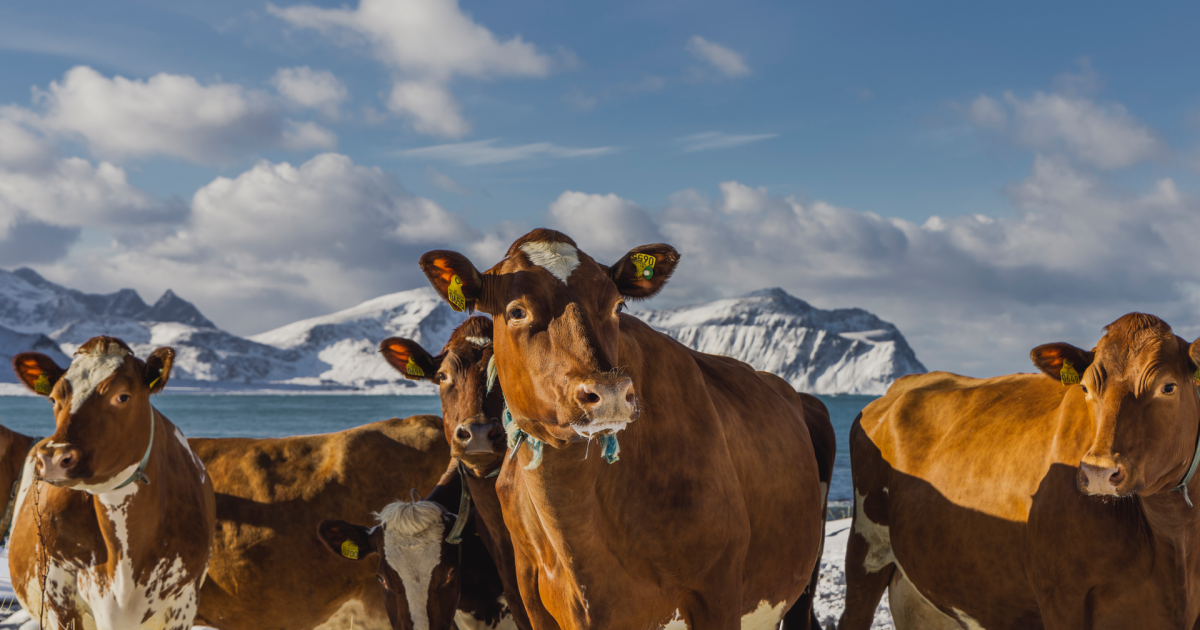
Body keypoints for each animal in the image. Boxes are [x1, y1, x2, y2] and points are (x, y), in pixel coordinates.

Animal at [840, 312, 1200, 629]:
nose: (1099, 472)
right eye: (1085, 388)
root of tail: (899, 388)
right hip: (866, 546)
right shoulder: (1061, 598)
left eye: (1168, 387)